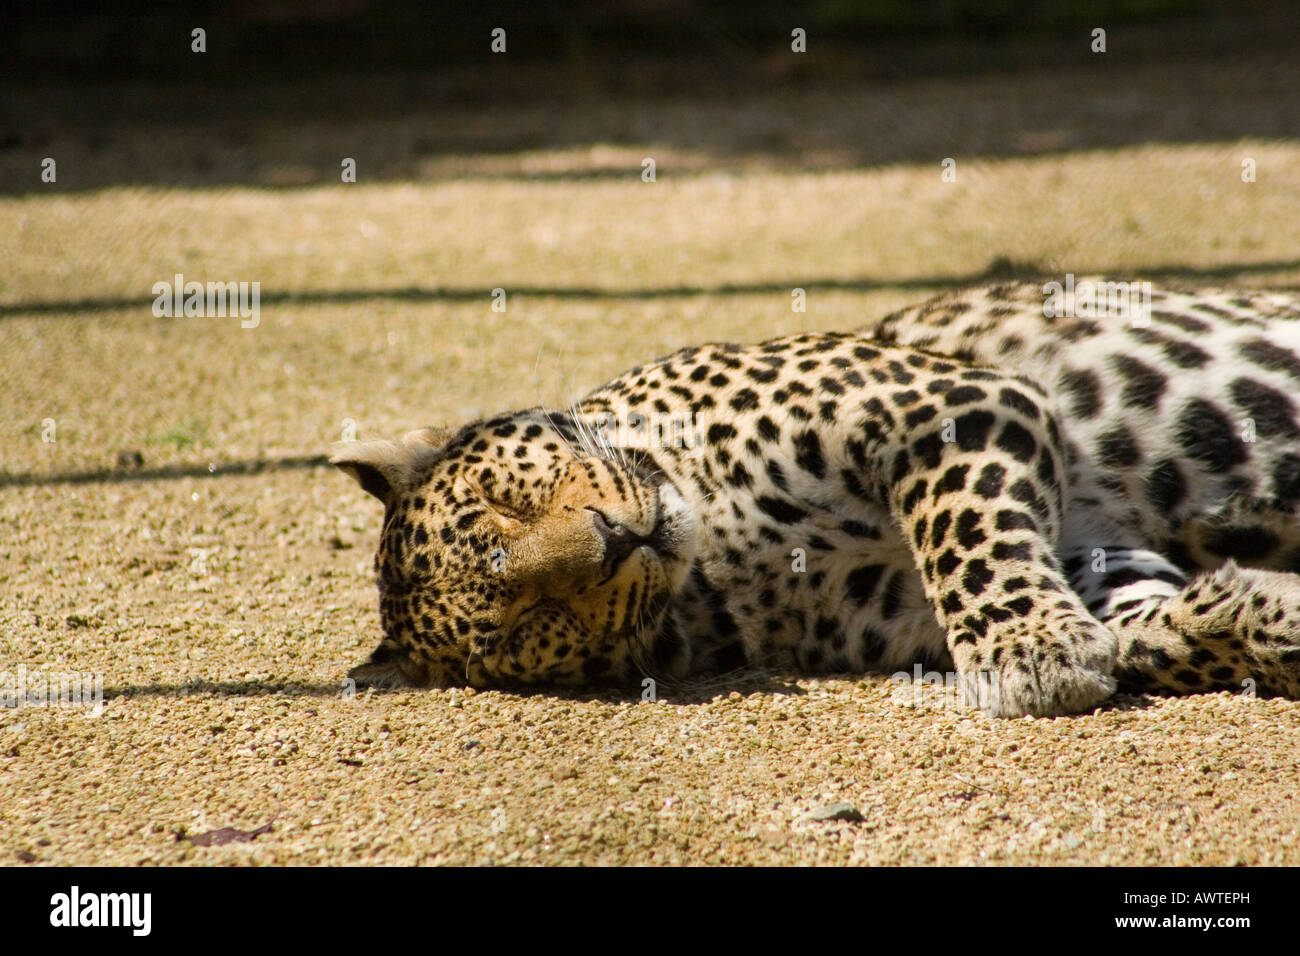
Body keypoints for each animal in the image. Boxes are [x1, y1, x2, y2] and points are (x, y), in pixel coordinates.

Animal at [330, 279, 1300, 717]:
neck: (717, 563)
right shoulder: (1083, 552)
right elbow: (1153, 633)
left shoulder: (955, 405)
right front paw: (1266, 618)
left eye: (506, 499)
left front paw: (1031, 649)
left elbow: (964, 535)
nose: (611, 541)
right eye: (528, 622)